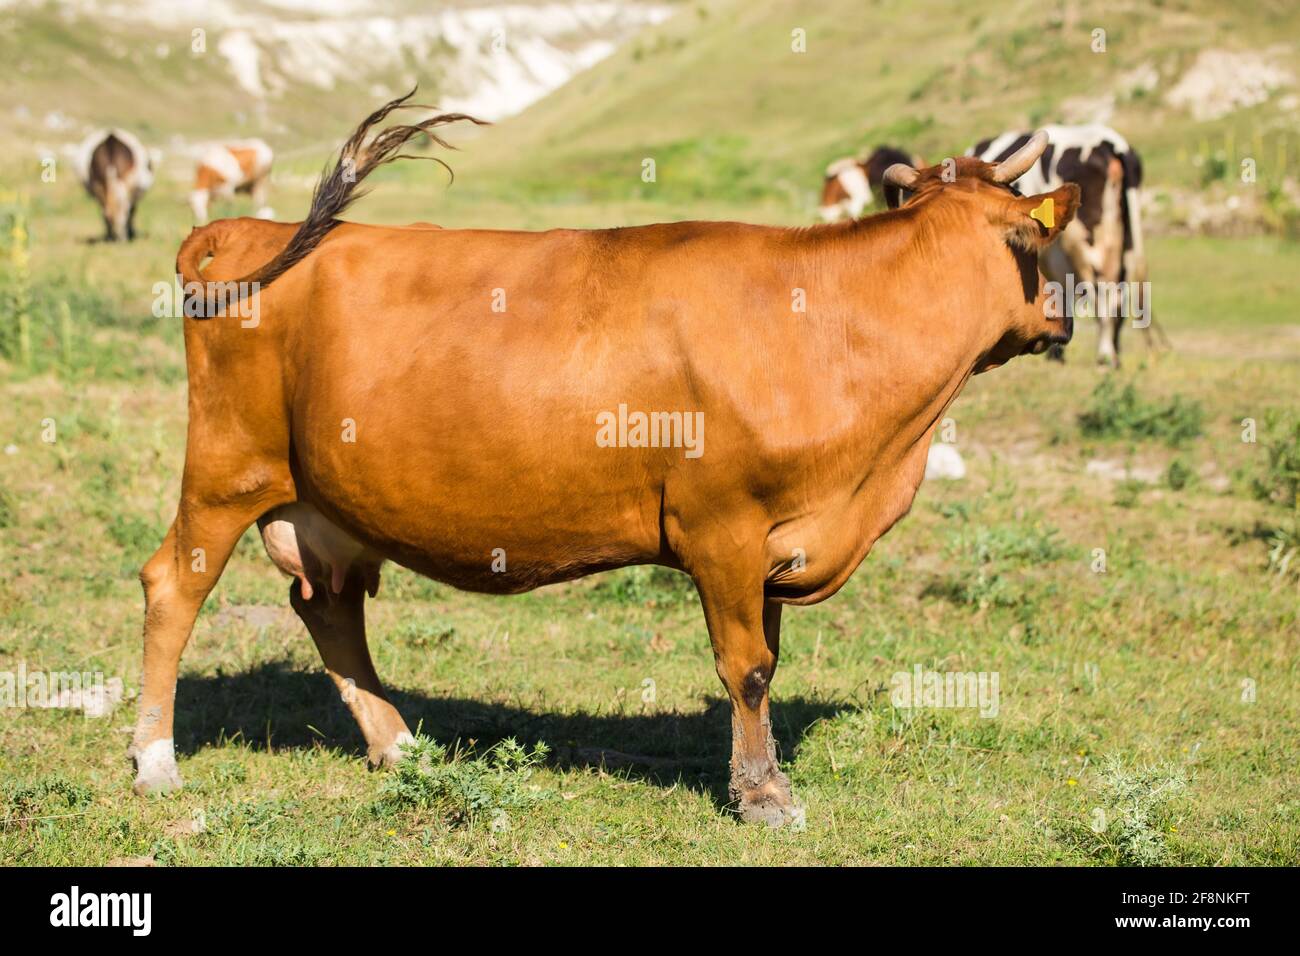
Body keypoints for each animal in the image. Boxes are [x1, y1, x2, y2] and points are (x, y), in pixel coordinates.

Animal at [130, 92, 1078, 826]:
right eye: (1038, 244)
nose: (1068, 316)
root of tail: (246, 229)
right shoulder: (722, 527)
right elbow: (748, 669)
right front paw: (764, 796)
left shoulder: (771, 545)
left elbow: (767, 663)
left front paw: (761, 778)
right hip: (226, 470)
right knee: (173, 587)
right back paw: (155, 761)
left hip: (321, 500)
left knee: (328, 609)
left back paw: (399, 746)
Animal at [966, 124, 1151, 367]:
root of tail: (1111, 143)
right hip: (1124, 240)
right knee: (1119, 291)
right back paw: (1114, 355)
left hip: (1085, 242)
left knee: (1102, 291)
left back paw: (1104, 355)